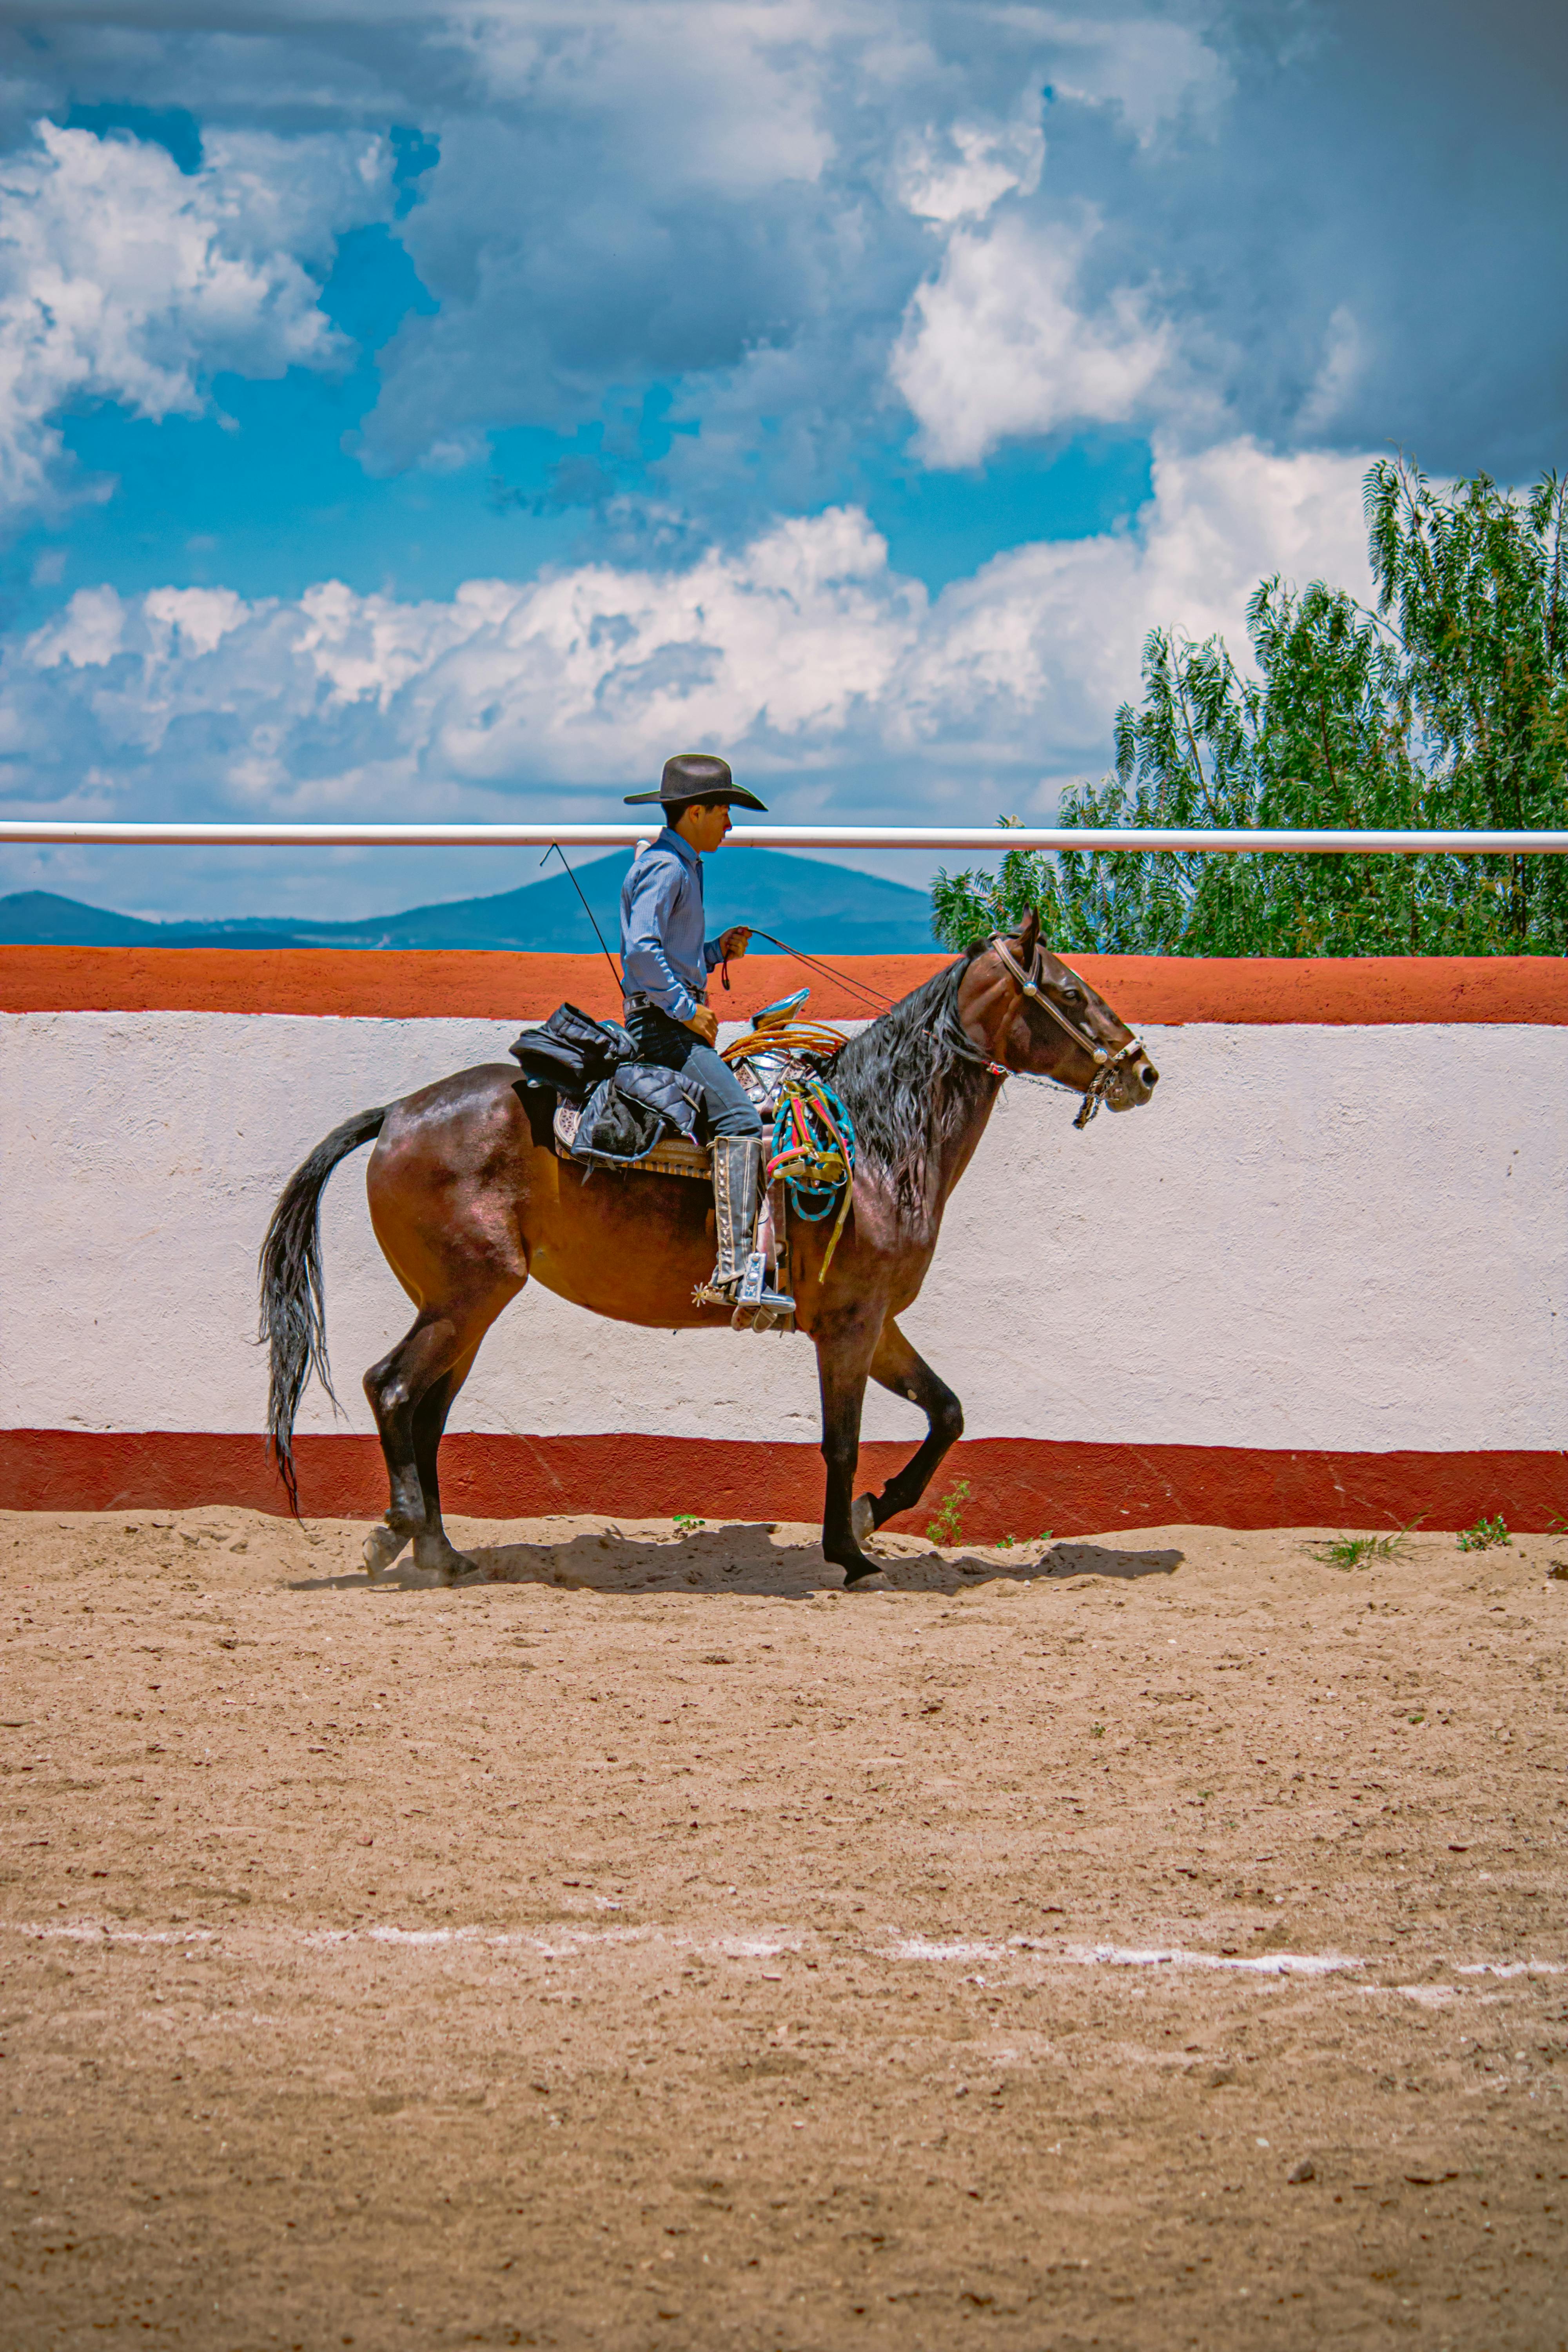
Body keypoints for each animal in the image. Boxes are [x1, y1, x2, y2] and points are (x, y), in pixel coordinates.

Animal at [258, 912, 1160, 1586]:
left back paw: (441, 1553)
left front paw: (872, 1511)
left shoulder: (872, 1321)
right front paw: (850, 1551)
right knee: (391, 1388)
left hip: (466, 1306)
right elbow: (843, 1439)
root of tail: (399, 1115)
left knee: (427, 1410)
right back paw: (398, 1530)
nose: (1143, 1071)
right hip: (467, 1294)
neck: (874, 1143)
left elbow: (946, 1413)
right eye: (1071, 992)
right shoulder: (848, 1327)